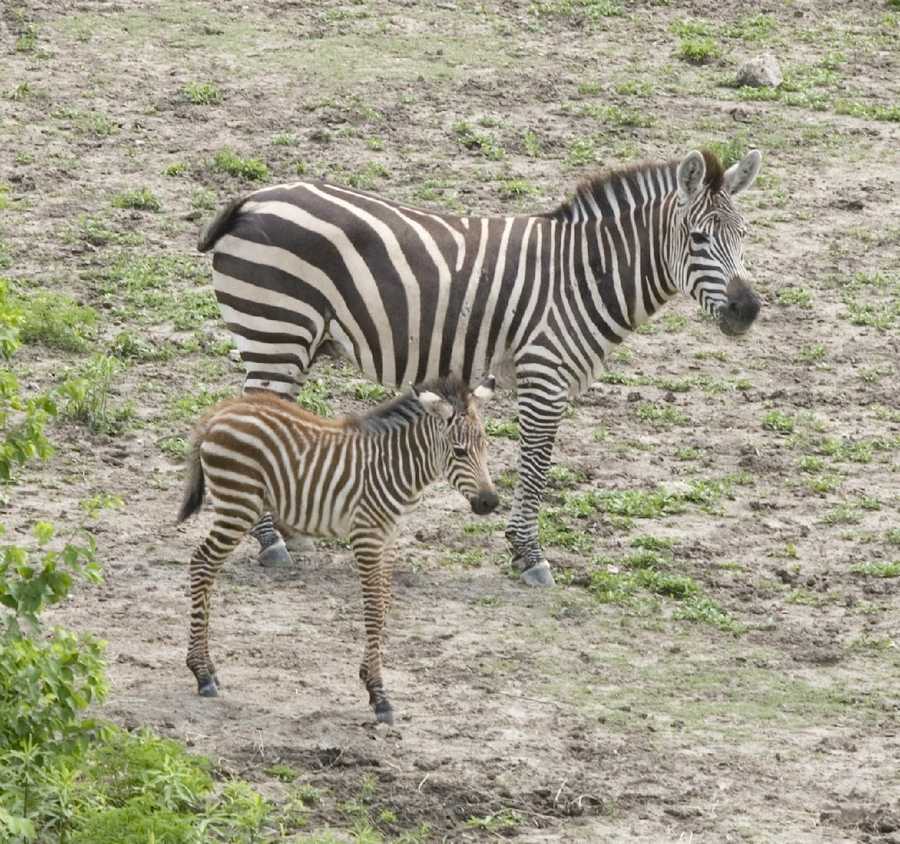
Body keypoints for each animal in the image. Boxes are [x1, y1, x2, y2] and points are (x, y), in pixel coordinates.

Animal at [177, 375, 497, 724]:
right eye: (459, 451)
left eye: (485, 446)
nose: (490, 503)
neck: (395, 468)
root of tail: (219, 412)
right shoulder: (367, 537)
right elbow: (373, 609)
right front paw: (379, 696)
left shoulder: (389, 538)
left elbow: (384, 604)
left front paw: (370, 680)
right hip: (239, 505)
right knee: (202, 563)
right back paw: (201, 673)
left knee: (206, 566)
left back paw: (208, 669)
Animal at [199, 146, 763, 588]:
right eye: (697, 238)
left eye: (743, 235)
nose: (747, 310)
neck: (585, 274)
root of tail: (255, 197)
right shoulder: (545, 374)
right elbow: (536, 467)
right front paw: (529, 556)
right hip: (277, 331)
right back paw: (269, 541)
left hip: (285, 340)